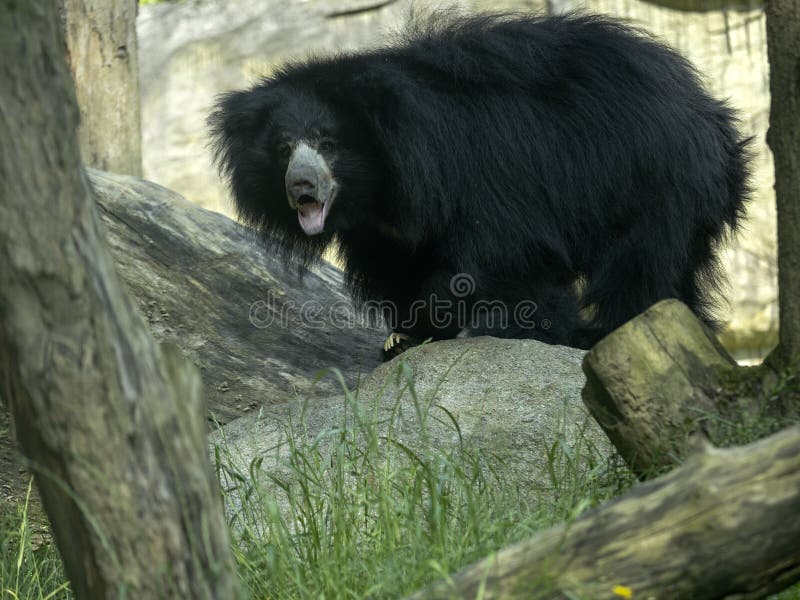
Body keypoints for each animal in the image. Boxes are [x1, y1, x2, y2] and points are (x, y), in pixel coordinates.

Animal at [209, 12, 749, 359]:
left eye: (328, 142)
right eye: (283, 148)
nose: (301, 185)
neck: (380, 185)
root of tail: (708, 110)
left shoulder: (482, 178)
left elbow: (504, 256)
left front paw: (509, 328)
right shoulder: (383, 232)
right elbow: (400, 270)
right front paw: (405, 338)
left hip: (655, 179)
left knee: (642, 264)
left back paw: (612, 328)